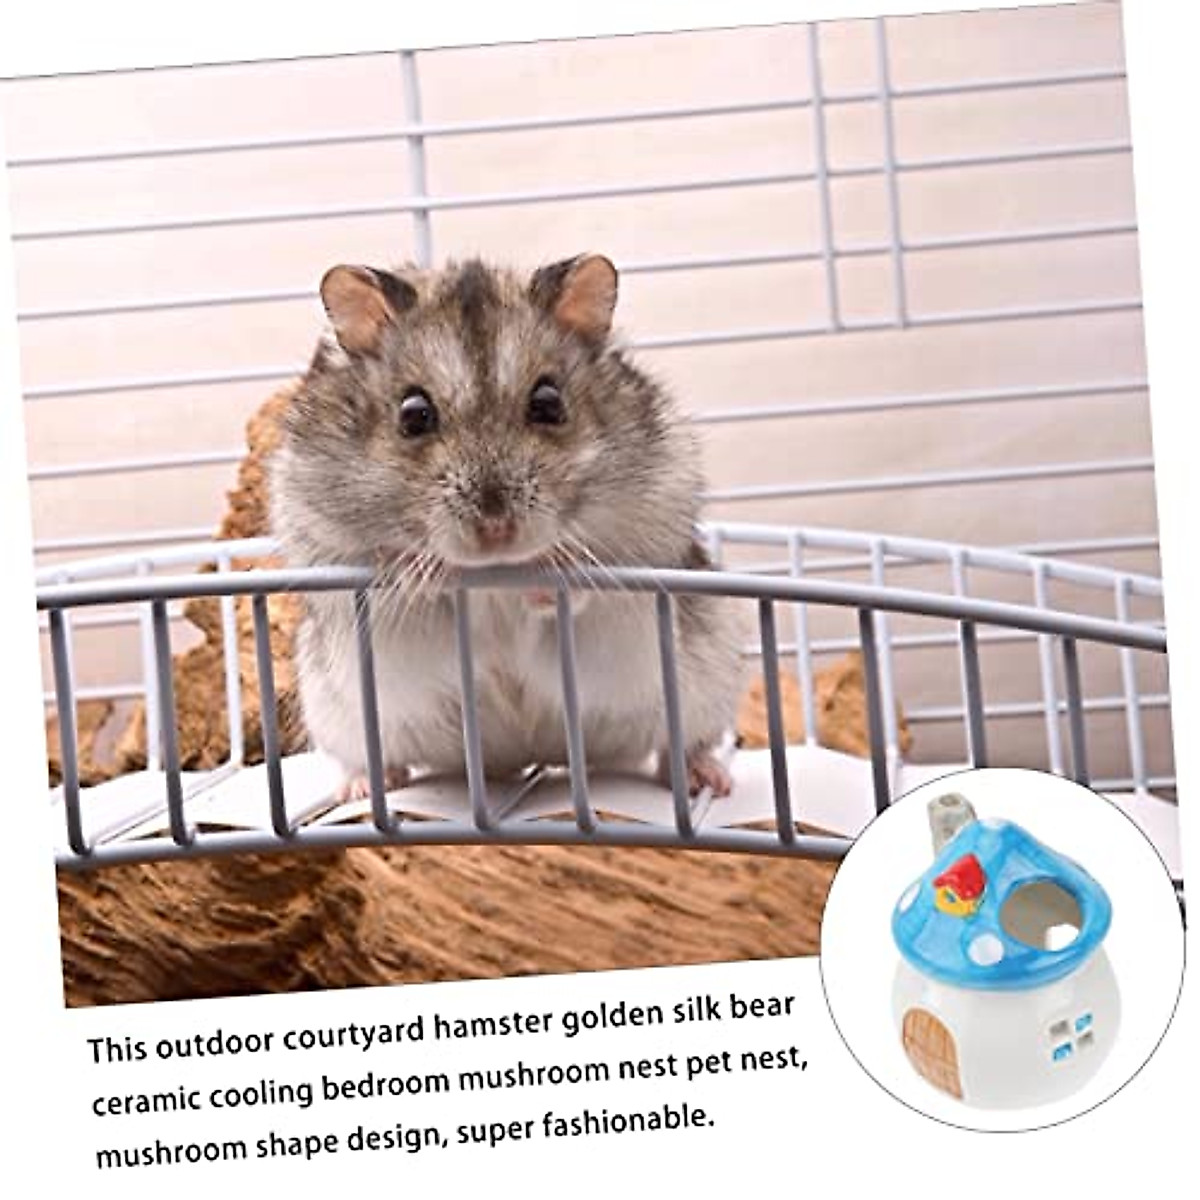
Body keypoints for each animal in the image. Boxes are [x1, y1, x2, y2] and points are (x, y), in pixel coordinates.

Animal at [270, 253, 745, 803]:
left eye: (549, 403)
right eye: (413, 414)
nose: (496, 529)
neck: (495, 573)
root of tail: (520, 759)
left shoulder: (647, 528)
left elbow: (584, 582)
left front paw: (545, 571)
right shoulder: (326, 544)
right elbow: (400, 572)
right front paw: (426, 570)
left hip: (706, 687)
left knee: (683, 745)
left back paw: (705, 778)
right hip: (336, 713)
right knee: (368, 758)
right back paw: (364, 788)